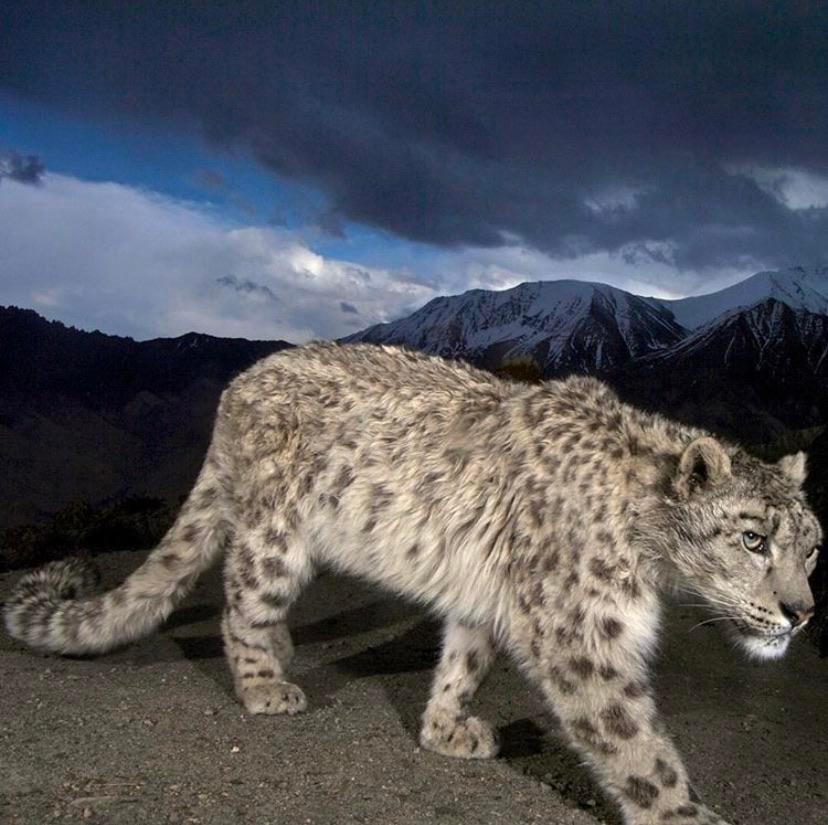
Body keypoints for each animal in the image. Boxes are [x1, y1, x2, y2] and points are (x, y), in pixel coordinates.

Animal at [5, 342, 822, 825]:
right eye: (753, 539)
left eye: (813, 548)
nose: (802, 613)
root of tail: (237, 387)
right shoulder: (581, 634)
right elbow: (635, 743)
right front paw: (686, 814)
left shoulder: (489, 597)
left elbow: (465, 657)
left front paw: (446, 727)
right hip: (277, 539)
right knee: (240, 599)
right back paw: (266, 682)